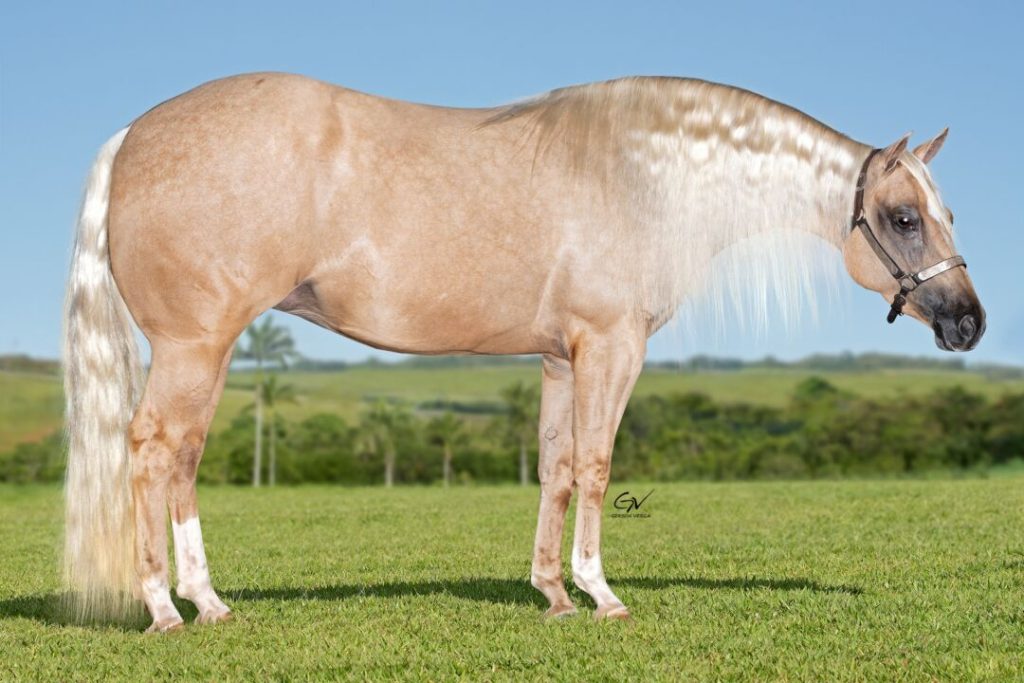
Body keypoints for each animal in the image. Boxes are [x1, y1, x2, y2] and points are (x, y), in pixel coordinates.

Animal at [62, 73, 985, 632]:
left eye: (946, 214)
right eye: (904, 217)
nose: (969, 323)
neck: (643, 179)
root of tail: (131, 135)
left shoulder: (558, 358)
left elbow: (556, 466)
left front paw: (552, 594)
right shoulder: (610, 346)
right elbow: (599, 465)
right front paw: (602, 592)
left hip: (210, 351)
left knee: (182, 457)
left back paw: (208, 600)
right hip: (195, 344)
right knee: (152, 450)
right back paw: (167, 607)